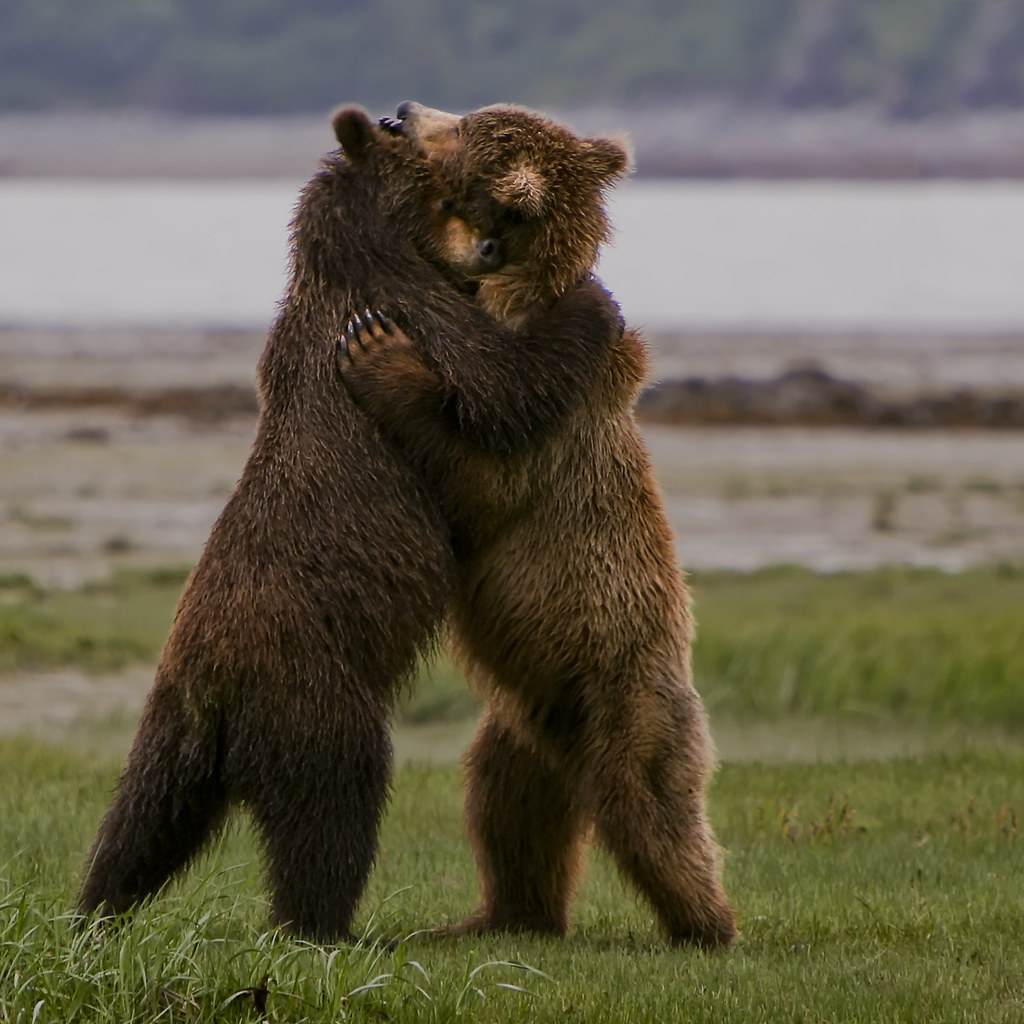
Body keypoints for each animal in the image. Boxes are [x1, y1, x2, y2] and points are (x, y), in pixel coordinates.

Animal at [77, 106, 624, 944]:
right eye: (447, 196)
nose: (491, 249)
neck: (369, 251)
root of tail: (219, 699)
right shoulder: (405, 309)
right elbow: (501, 382)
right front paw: (589, 303)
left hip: (169, 725)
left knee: (140, 818)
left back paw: (93, 908)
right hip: (316, 693)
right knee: (336, 802)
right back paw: (325, 923)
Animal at [339, 102, 737, 948]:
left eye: (460, 130)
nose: (401, 110)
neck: (511, 294)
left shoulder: (546, 428)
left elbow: (480, 478)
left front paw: (379, 352)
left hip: (631, 692)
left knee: (651, 803)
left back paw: (707, 923)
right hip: (527, 719)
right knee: (508, 800)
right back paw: (497, 916)